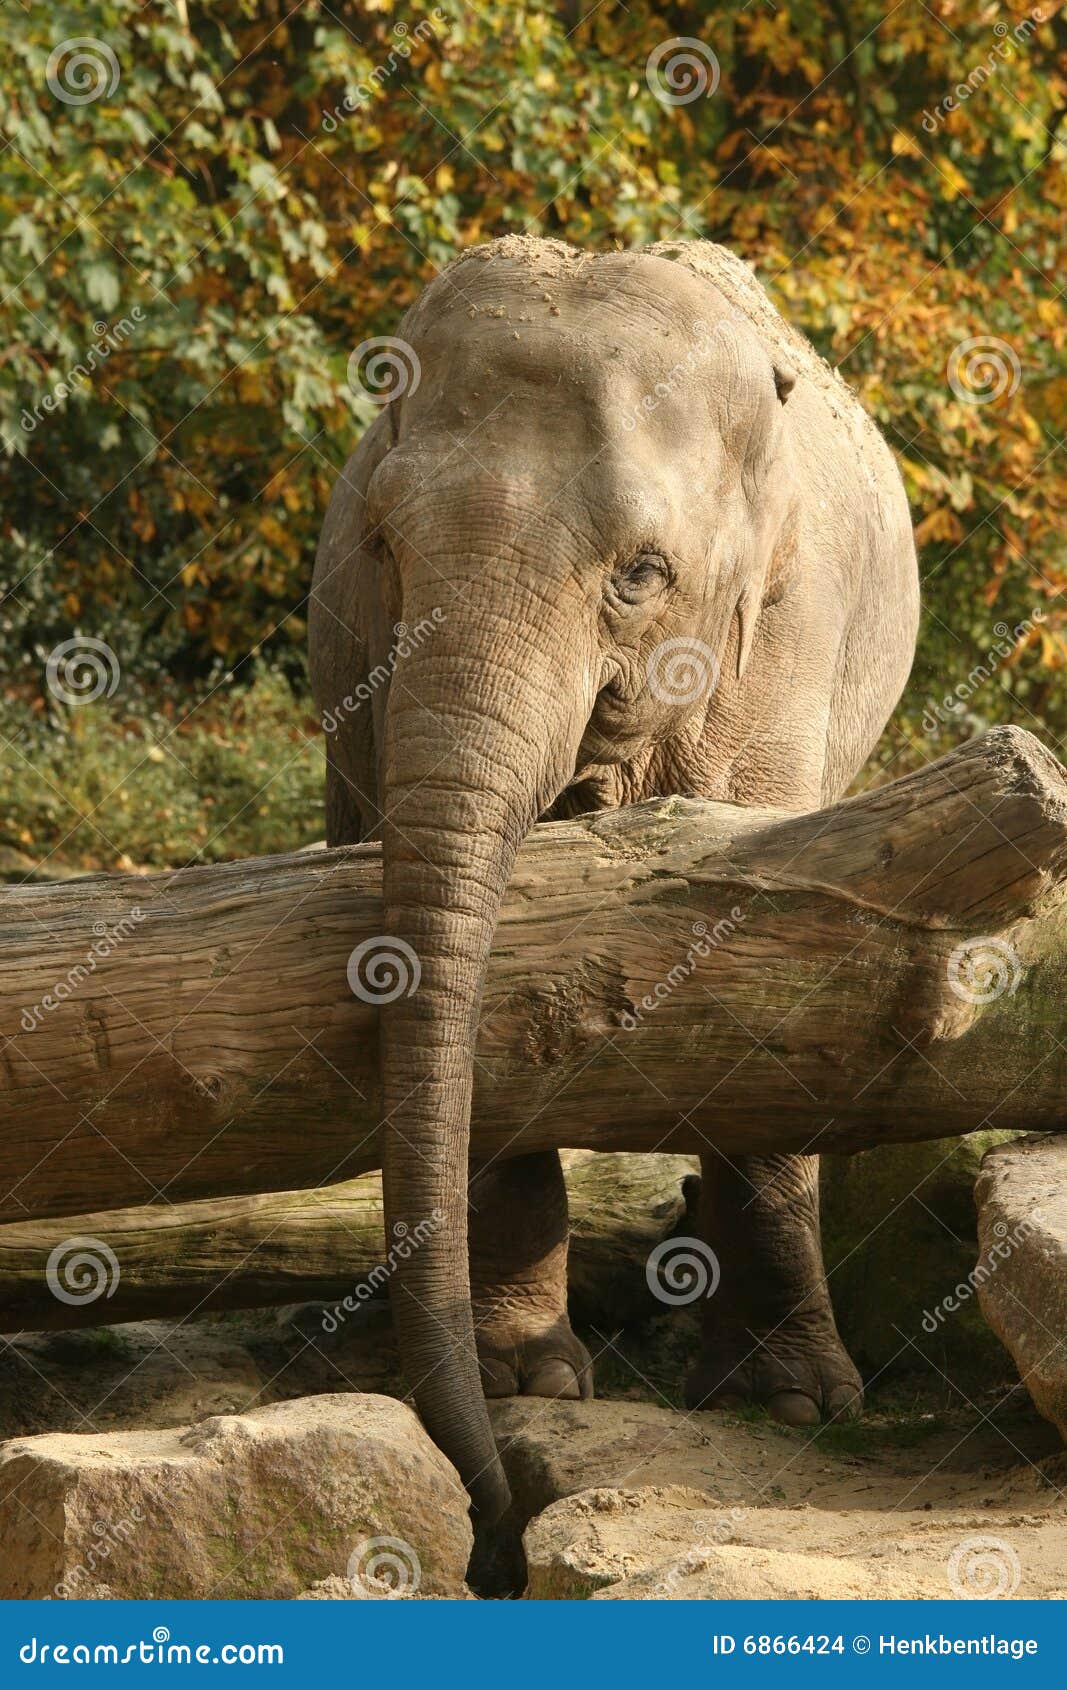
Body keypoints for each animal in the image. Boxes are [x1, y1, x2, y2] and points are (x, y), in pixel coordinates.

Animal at [309, 234, 920, 1525]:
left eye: (641, 572)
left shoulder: (781, 647)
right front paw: (525, 1379)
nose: (486, 1494)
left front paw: (788, 1402)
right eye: (381, 547)